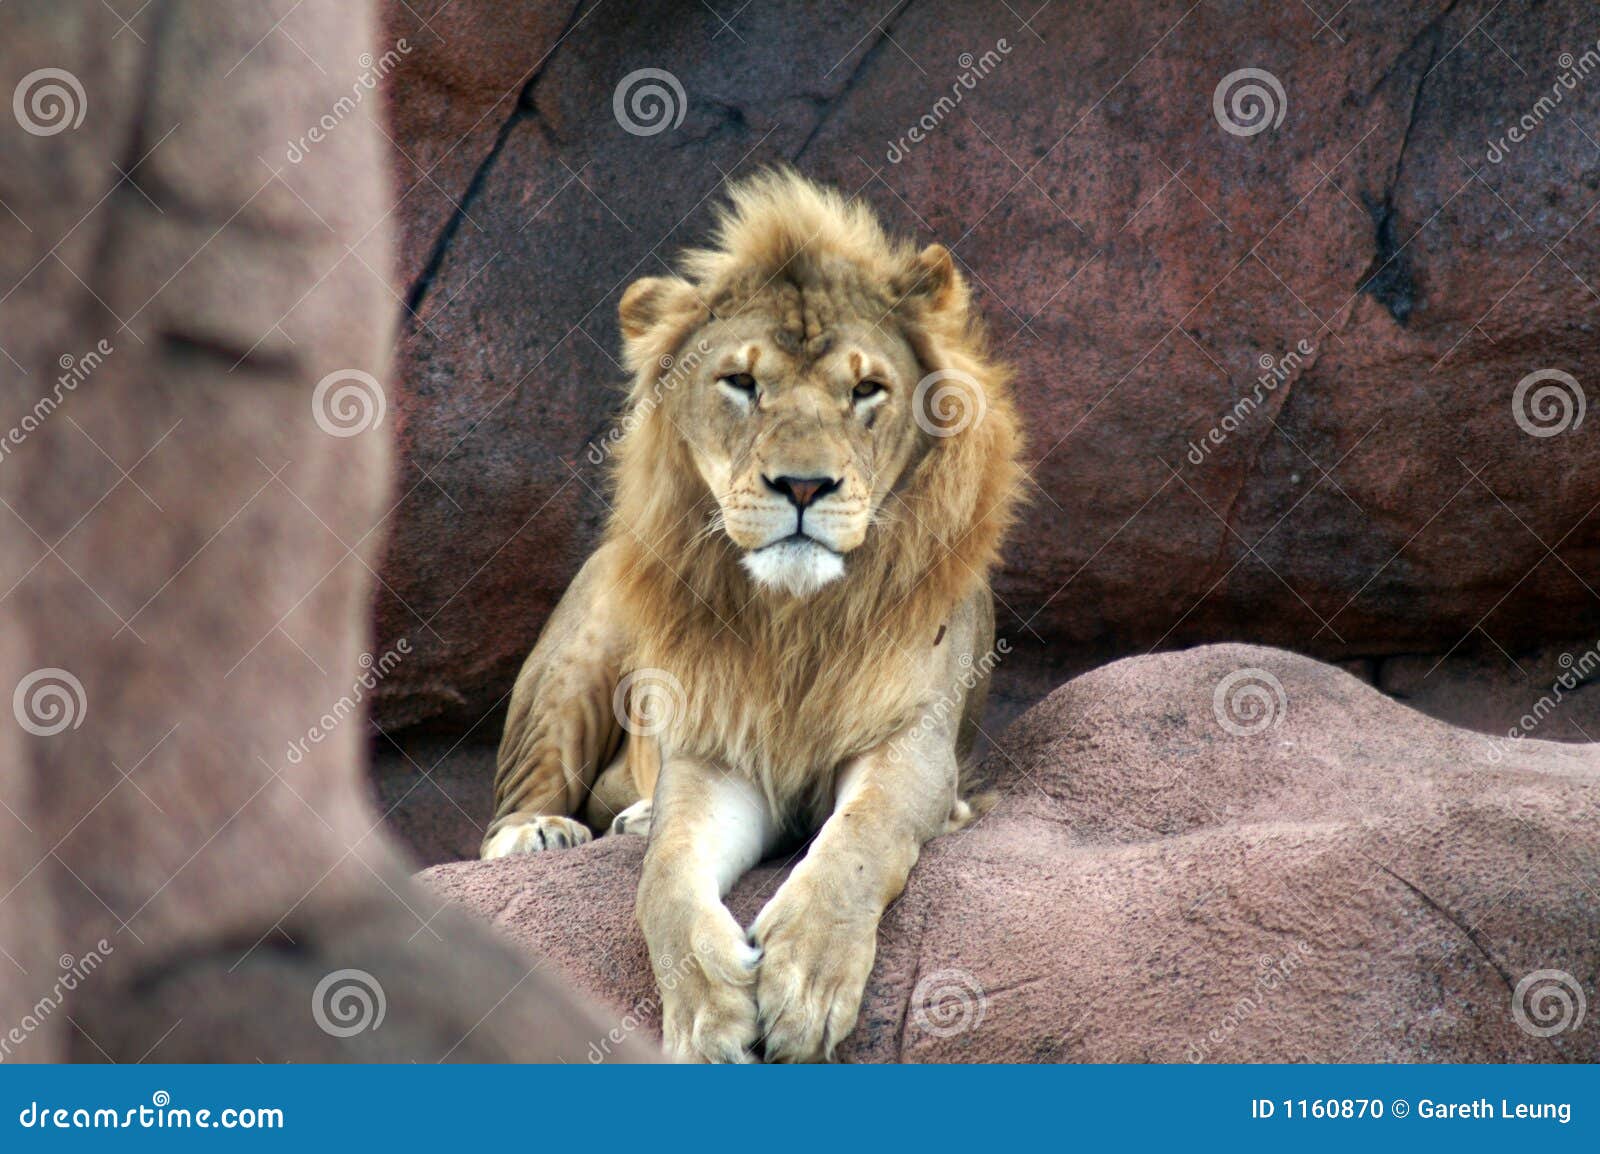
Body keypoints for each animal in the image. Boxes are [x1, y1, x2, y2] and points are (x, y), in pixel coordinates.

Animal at [481, 169, 1023, 1063]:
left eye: (865, 390)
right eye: (742, 383)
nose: (803, 485)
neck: (794, 621)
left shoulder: (913, 743)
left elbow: (861, 840)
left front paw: (806, 979)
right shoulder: (713, 754)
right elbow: (665, 878)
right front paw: (707, 1013)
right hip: (576, 658)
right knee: (515, 803)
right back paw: (541, 833)